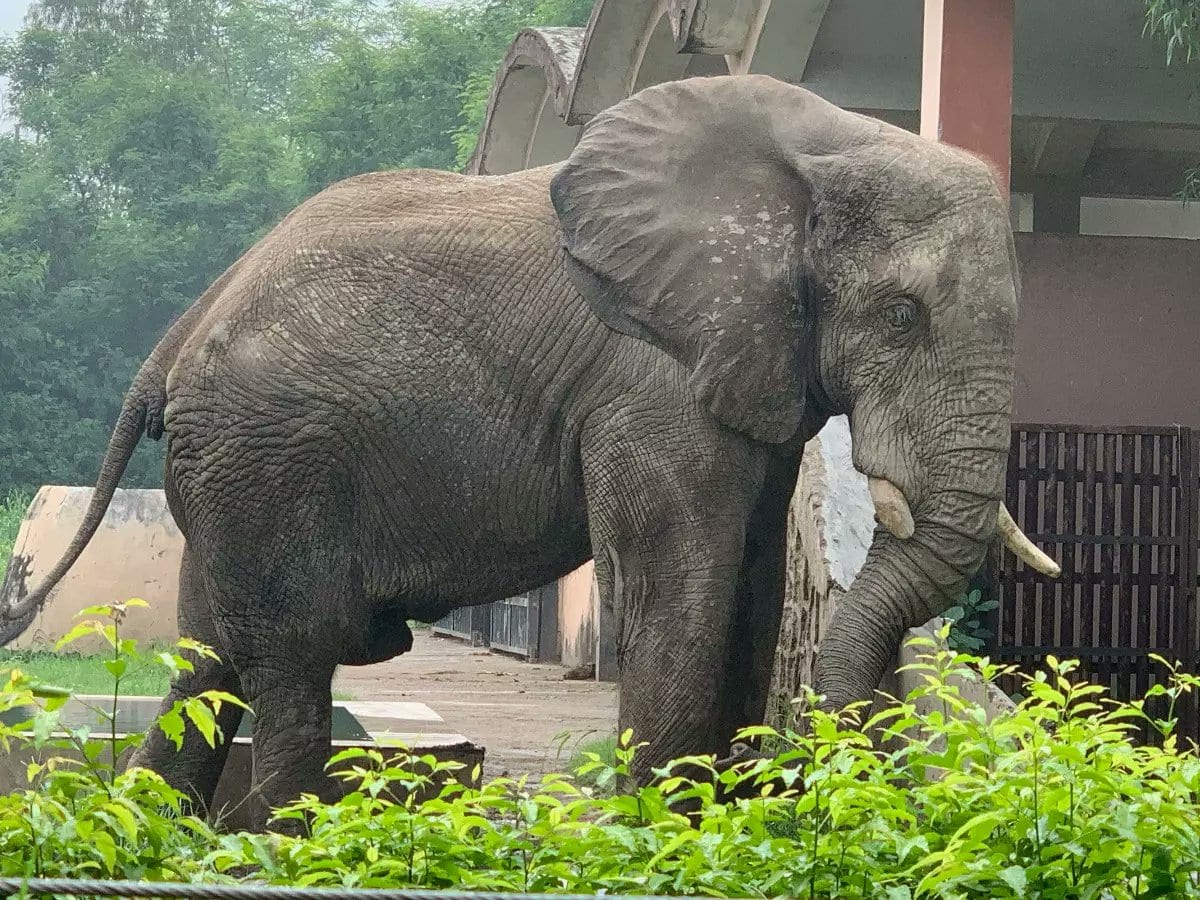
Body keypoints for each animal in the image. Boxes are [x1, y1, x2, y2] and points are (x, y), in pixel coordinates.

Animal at [0, 74, 1059, 827]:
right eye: (901, 315)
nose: (857, 782)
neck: (826, 143)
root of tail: (174, 339)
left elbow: (753, 588)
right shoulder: (649, 377)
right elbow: (682, 585)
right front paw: (655, 834)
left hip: (231, 475)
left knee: (205, 664)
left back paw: (161, 836)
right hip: (264, 461)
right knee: (289, 662)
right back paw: (289, 848)